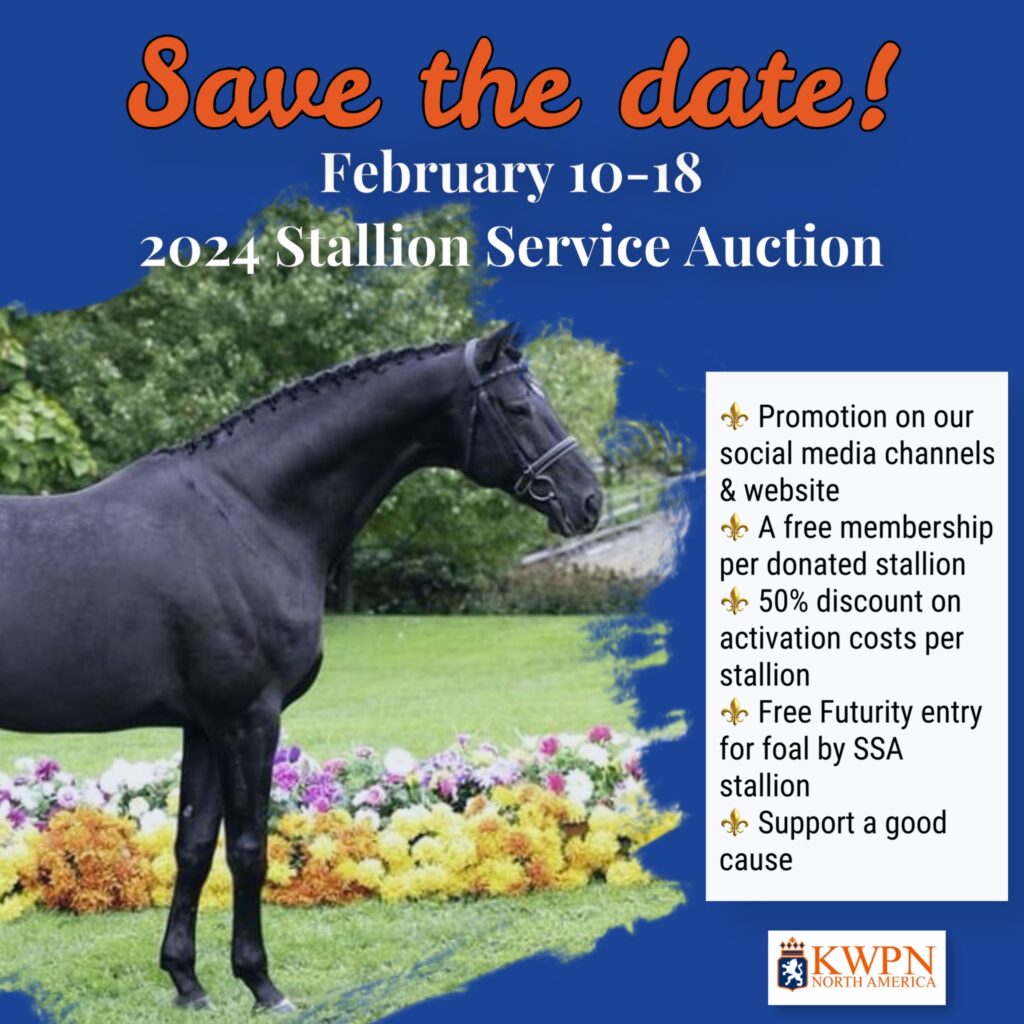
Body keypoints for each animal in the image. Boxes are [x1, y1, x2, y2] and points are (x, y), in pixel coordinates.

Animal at [0, 326, 602, 1012]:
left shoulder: (205, 725)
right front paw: (261, 982)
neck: (249, 514)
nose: (588, 500)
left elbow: (194, 845)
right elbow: (248, 849)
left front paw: (186, 980)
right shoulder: (249, 719)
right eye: (519, 406)